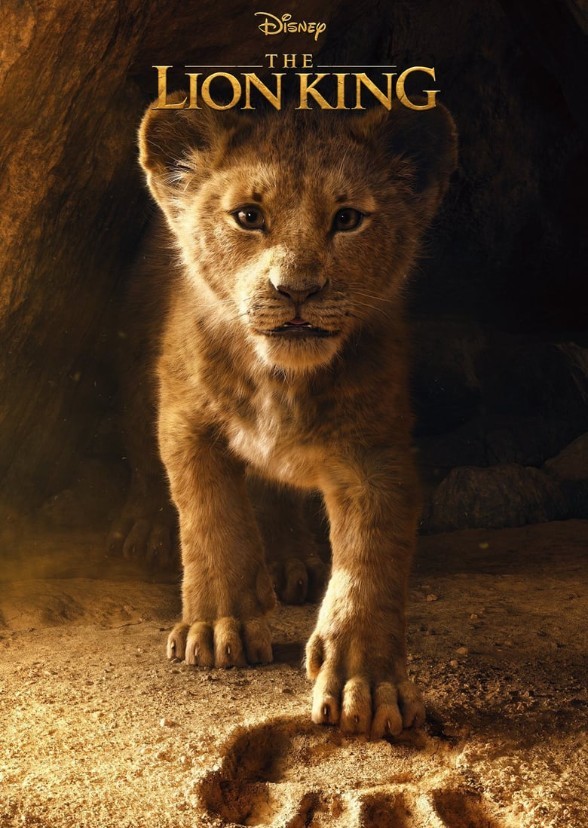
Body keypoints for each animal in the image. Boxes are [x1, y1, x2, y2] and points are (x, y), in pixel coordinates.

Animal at [118, 94, 457, 739]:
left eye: (347, 219)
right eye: (248, 216)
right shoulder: (185, 420)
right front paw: (217, 627)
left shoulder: (376, 452)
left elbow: (371, 561)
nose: (296, 289)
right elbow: (211, 520)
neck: (281, 378)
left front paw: (366, 683)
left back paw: (289, 559)